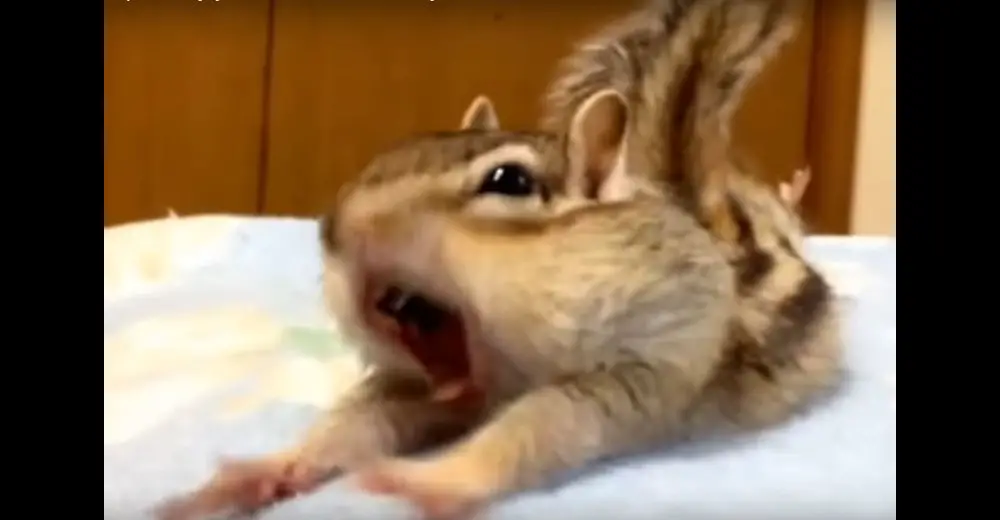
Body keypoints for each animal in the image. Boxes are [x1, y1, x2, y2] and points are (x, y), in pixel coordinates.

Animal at [154, 1, 841, 519]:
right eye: (389, 150)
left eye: (510, 180)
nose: (333, 230)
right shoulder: (418, 386)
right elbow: (354, 423)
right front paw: (258, 472)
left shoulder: (642, 372)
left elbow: (539, 428)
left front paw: (429, 481)